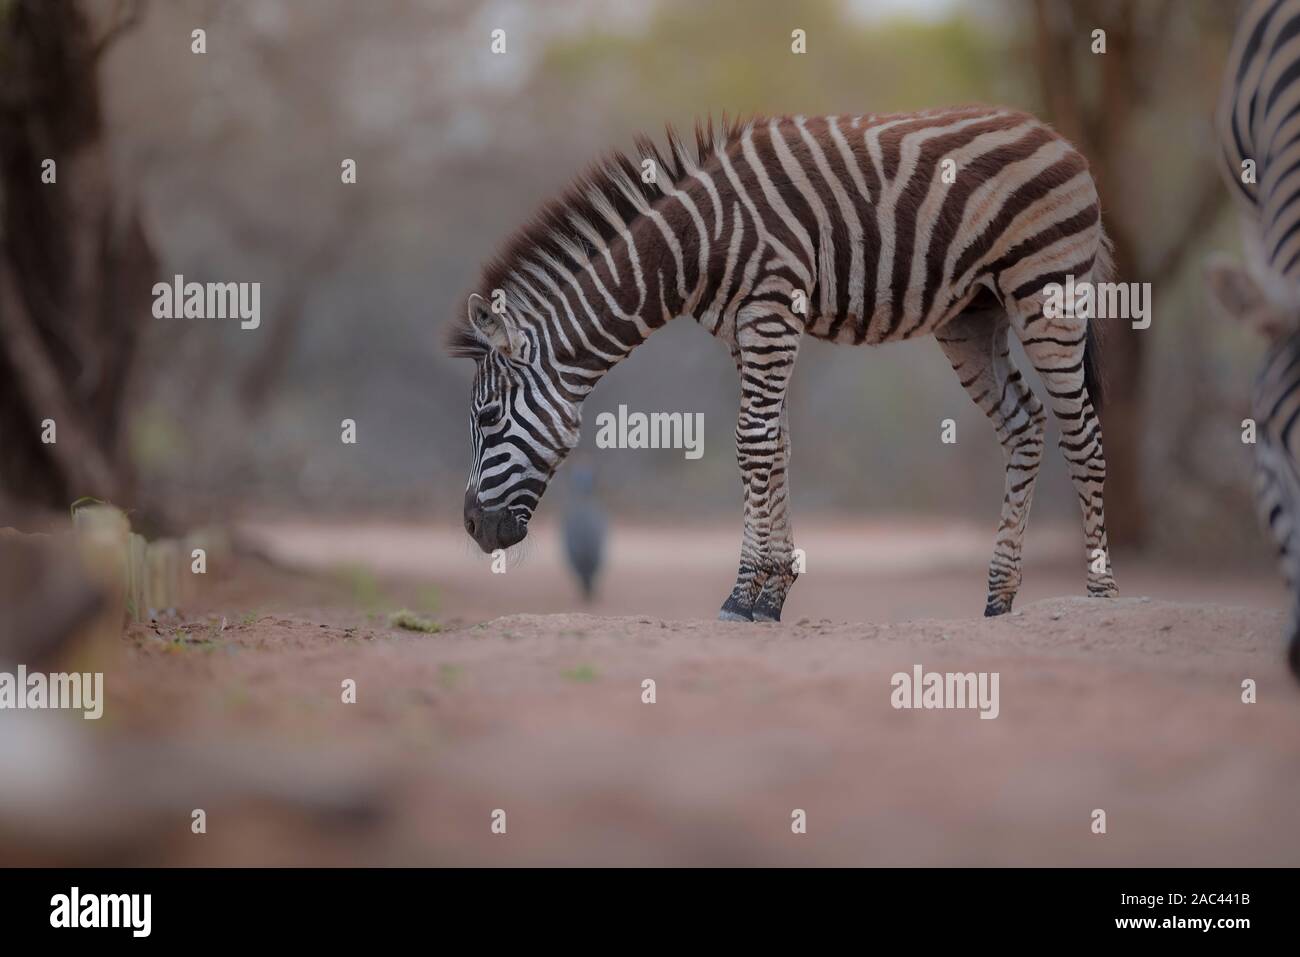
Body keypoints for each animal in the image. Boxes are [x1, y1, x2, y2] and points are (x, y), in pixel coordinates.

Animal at [450, 106, 1118, 622]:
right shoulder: (745, 331)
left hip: (1045, 289)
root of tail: (1058, 137)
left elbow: (752, 444)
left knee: (1082, 434)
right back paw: (999, 599)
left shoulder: (771, 311)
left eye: (487, 418)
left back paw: (1100, 594)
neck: (696, 248)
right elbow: (776, 446)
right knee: (1024, 424)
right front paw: (770, 595)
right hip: (972, 316)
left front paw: (740, 594)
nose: (473, 528)